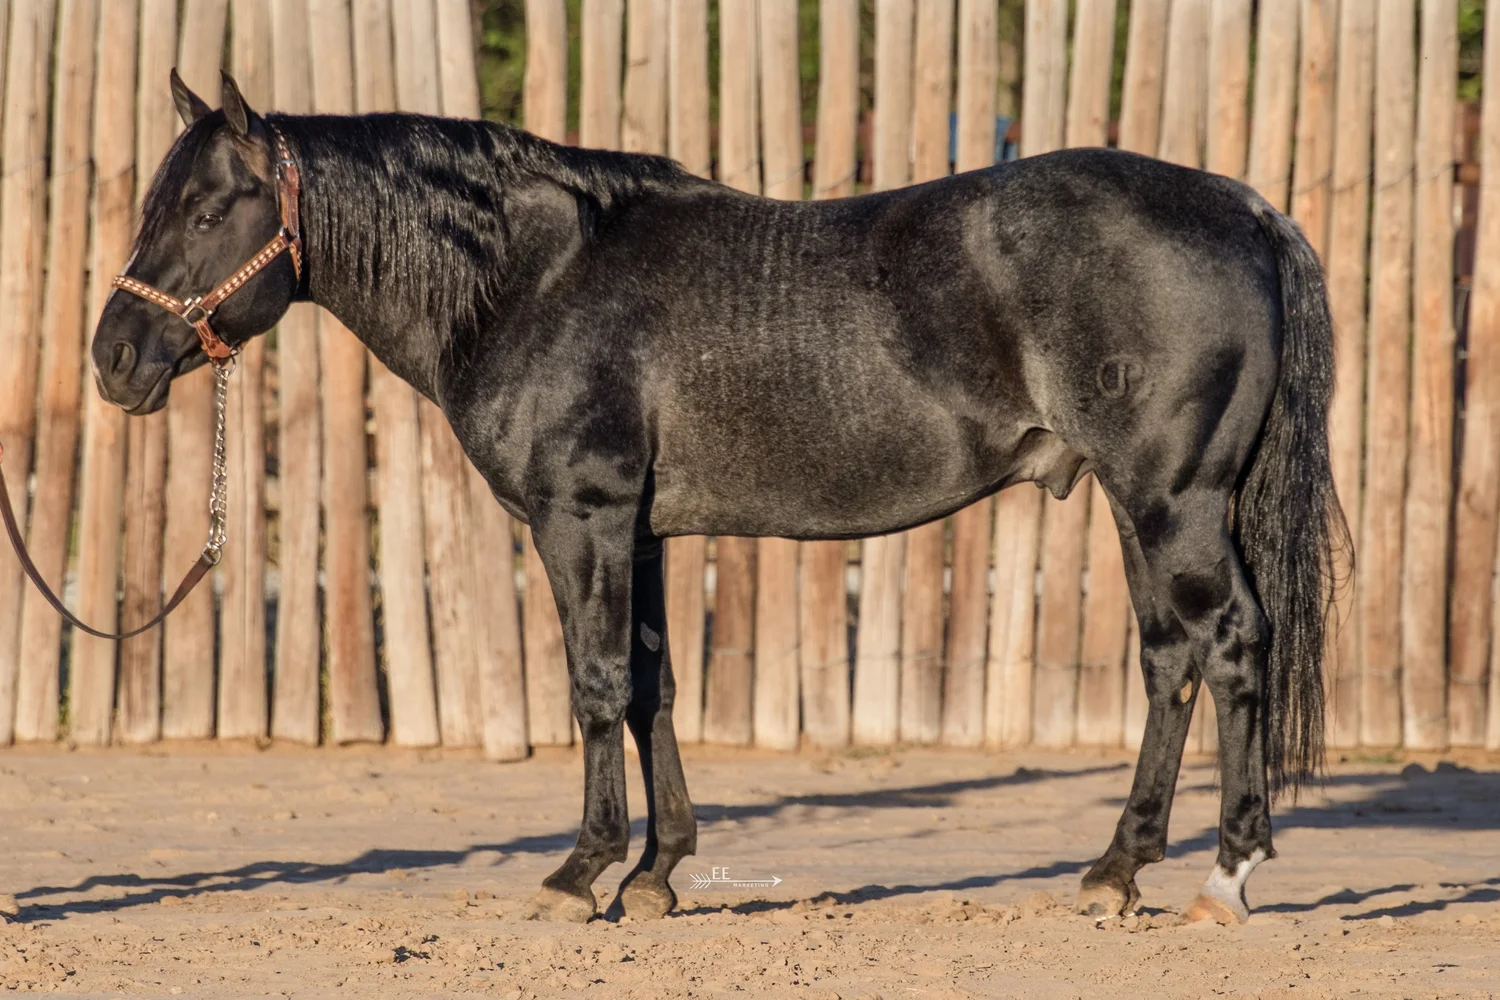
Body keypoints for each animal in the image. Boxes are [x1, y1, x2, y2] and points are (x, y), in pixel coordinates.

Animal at [91, 71, 1348, 926]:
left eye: (207, 212)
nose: (114, 359)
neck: (536, 277)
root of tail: (1246, 208)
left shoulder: (581, 516)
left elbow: (597, 685)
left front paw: (580, 875)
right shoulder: (637, 531)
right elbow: (652, 684)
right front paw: (655, 874)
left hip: (1175, 499)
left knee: (1232, 645)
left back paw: (1226, 876)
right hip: (1148, 507)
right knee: (1171, 657)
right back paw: (1116, 868)